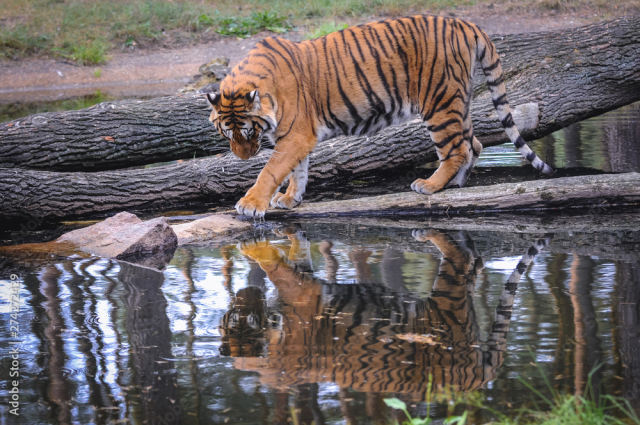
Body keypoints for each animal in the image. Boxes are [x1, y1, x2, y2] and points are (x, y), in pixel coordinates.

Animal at [206, 15, 554, 217]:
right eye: (227, 133)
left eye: (248, 132)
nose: (242, 157)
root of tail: (464, 23)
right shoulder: (297, 137)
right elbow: (297, 171)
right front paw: (291, 199)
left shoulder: (295, 135)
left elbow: (271, 170)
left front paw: (250, 204)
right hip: (457, 100)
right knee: (474, 144)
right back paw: (456, 184)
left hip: (438, 102)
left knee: (456, 149)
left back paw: (430, 185)